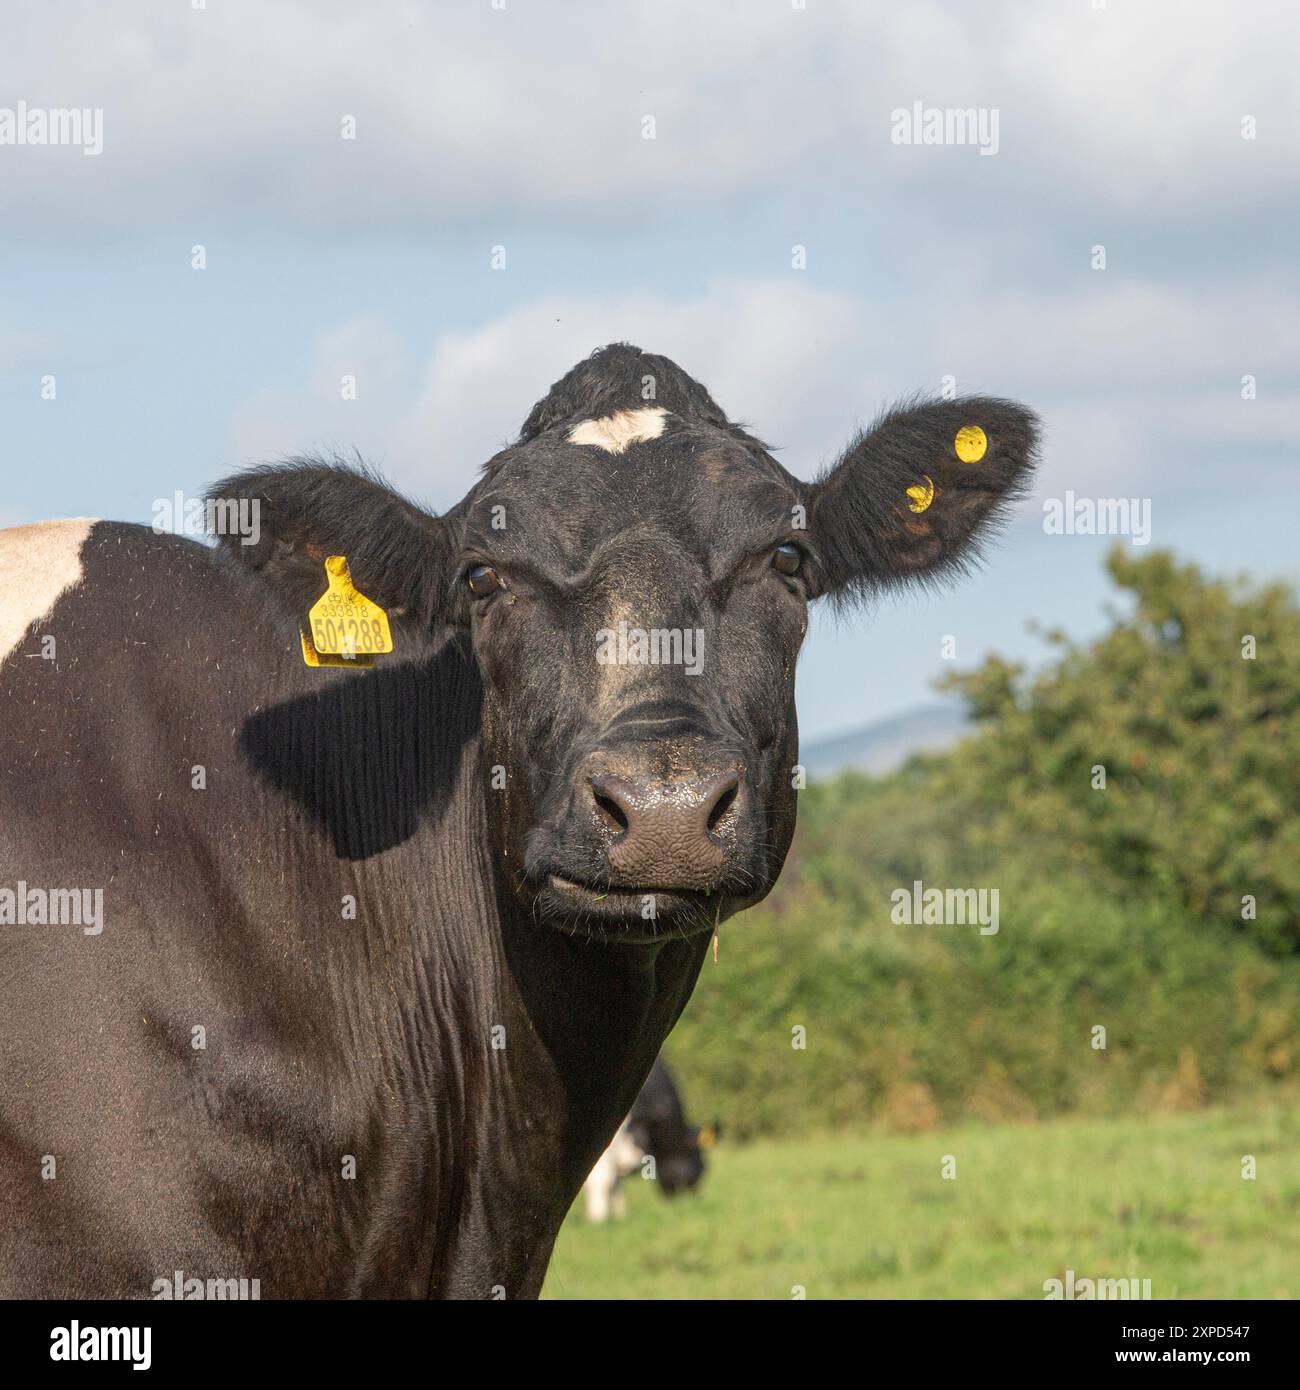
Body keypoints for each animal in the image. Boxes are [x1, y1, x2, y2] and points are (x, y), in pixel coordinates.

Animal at [583, 1055, 708, 1222]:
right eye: (699, 1169)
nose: (689, 1203)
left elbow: (616, 1185)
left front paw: (620, 1216)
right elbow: (604, 1181)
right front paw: (598, 1220)